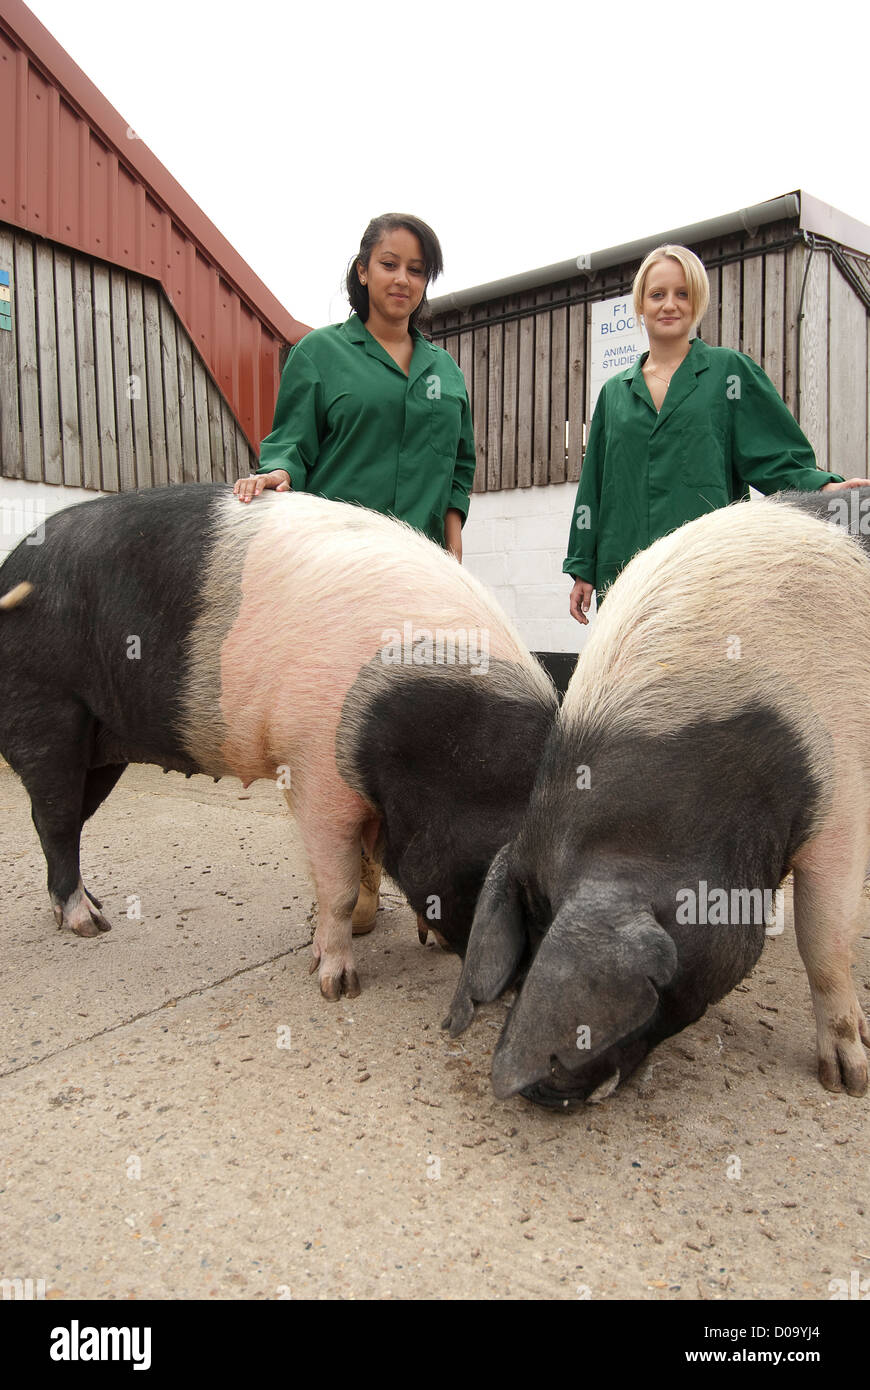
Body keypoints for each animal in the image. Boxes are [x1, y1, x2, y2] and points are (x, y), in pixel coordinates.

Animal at [0, 483, 557, 999]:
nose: (518, 986)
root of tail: (10, 569)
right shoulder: (318, 769)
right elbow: (338, 886)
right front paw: (337, 987)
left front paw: (430, 945)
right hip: (47, 706)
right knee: (54, 820)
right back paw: (90, 924)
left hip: (101, 746)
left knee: (66, 822)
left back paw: (91, 907)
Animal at [445, 489, 870, 1103]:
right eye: (533, 928)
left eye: (654, 978)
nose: (540, 1090)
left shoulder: (842, 798)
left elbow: (825, 936)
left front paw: (847, 1082)